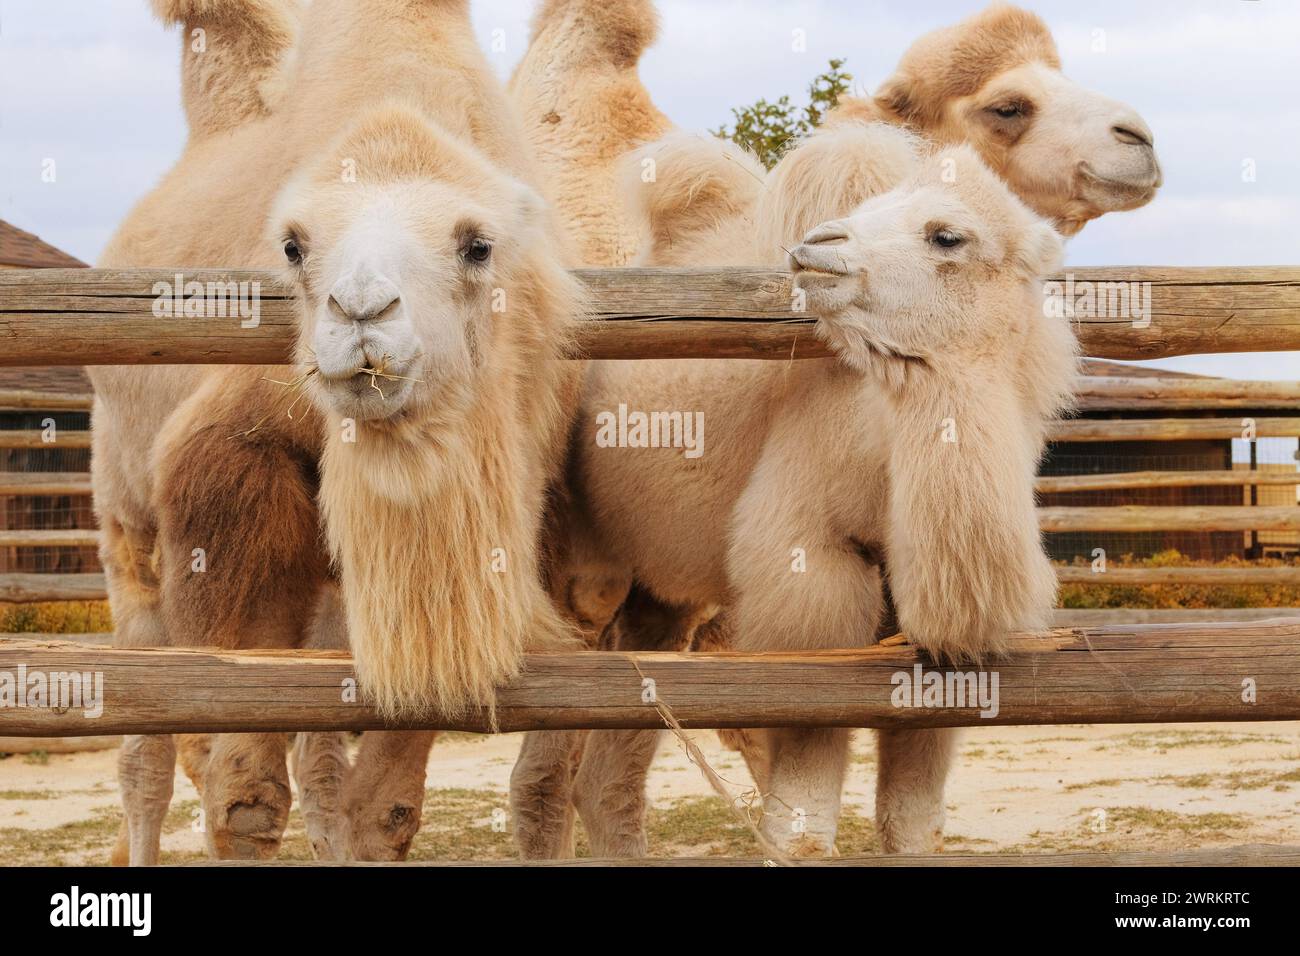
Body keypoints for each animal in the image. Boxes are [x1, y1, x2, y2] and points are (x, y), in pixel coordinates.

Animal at [94, 0, 579, 864]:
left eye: (477, 244)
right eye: (292, 245)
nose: (360, 312)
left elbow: (383, 800)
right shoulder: (236, 455)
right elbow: (244, 799)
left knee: (314, 759)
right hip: (124, 514)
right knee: (145, 750)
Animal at [507, 3, 1161, 857]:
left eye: (945, 234)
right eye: (1008, 105)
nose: (1139, 140)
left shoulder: (930, 631)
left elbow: (914, 823)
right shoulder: (807, 584)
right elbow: (804, 826)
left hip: (660, 596)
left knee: (608, 779)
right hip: (564, 572)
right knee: (526, 769)